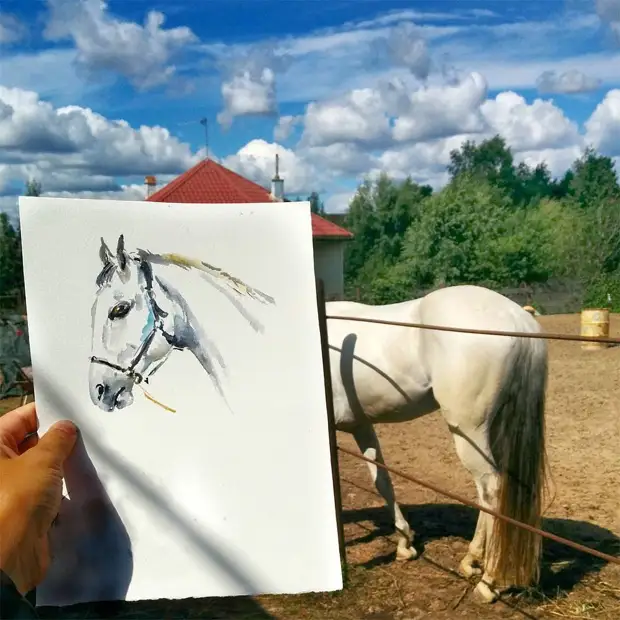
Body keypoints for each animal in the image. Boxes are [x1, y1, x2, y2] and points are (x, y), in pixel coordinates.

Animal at [326, 288, 548, 604]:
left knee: (490, 489)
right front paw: (404, 543)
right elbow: (382, 481)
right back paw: (472, 561)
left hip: (468, 433)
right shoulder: (360, 425)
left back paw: (488, 580)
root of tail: (517, 317)